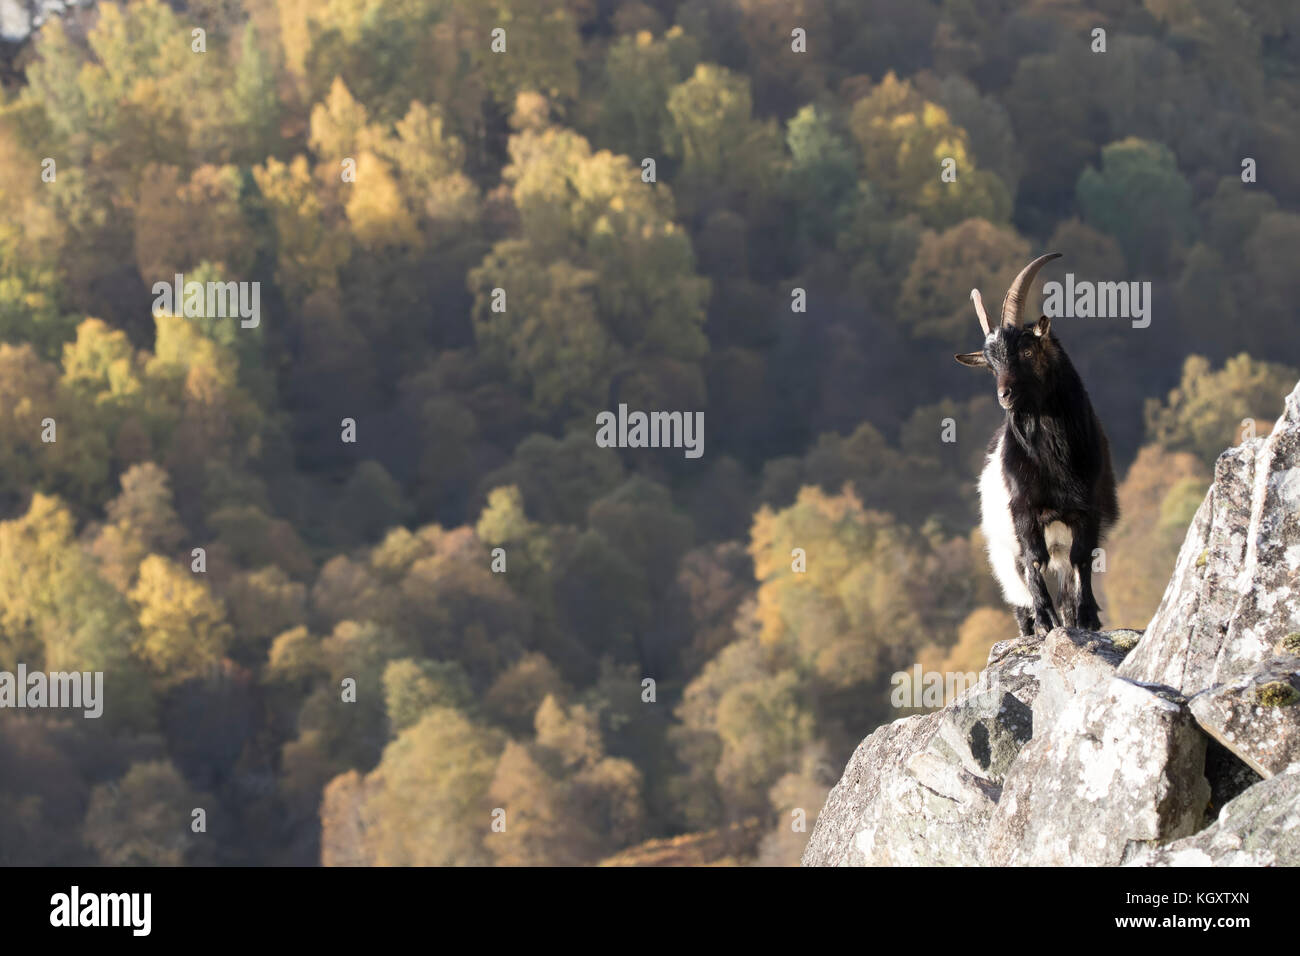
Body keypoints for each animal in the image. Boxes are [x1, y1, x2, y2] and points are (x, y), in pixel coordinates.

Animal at [955, 253, 1119, 637]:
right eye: (992, 365)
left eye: (1027, 350)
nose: (1005, 395)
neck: (1054, 458)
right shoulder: (1023, 511)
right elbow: (1034, 561)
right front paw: (1046, 621)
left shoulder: (1088, 509)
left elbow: (1081, 560)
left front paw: (1086, 618)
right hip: (1001, 550)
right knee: (1019, 585)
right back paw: (1032, 626)